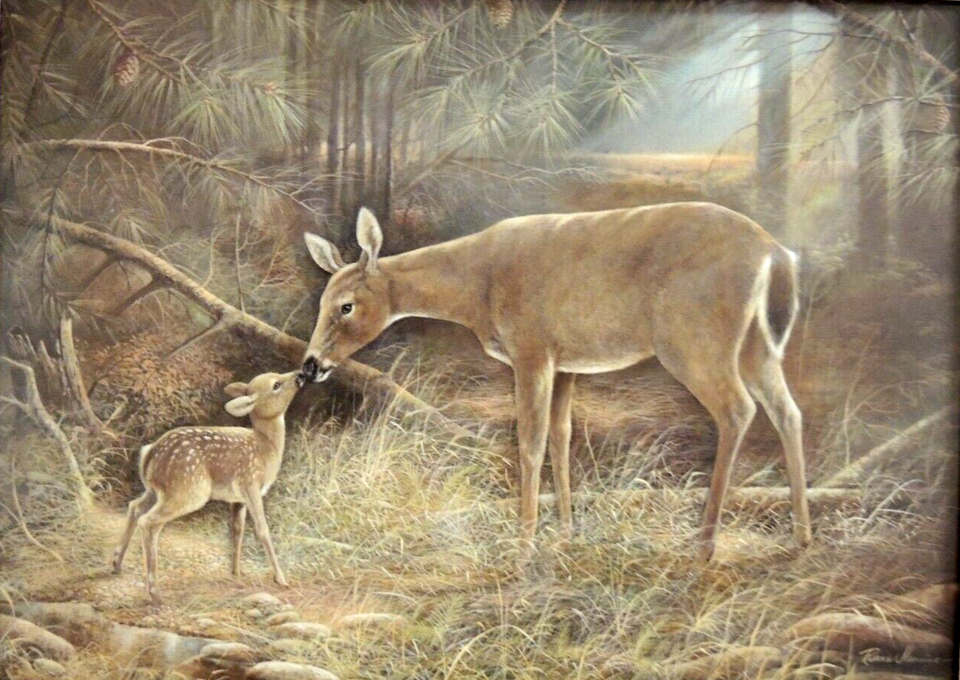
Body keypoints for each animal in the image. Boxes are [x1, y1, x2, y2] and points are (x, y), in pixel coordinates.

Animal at [112, 370, 304, 604]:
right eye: (276, 384)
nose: (300, 374)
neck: (266, 447)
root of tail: (149, 453)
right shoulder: (251, 483)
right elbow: (262, 530)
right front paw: (281, 579)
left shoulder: (237, 498)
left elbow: (236, 530)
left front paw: (236, 574)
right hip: (188, 490)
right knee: (149, 521)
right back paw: (154, 592)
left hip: (156, 489)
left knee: (135, 507)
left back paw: (116, 564)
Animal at [300, 203, 811, 563]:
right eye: (321, 302)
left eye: (345, 306)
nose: (310, 366)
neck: (476, 287)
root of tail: (775, 252)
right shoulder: (566, 363)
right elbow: (563, 439)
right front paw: (566, 536)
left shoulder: (531, 350)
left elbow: (530, 442)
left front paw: (523, 545)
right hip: (757, 344)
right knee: (788, 411)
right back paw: (801, 536)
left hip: (695, 338)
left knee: (738, 410)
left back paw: (704, 545)